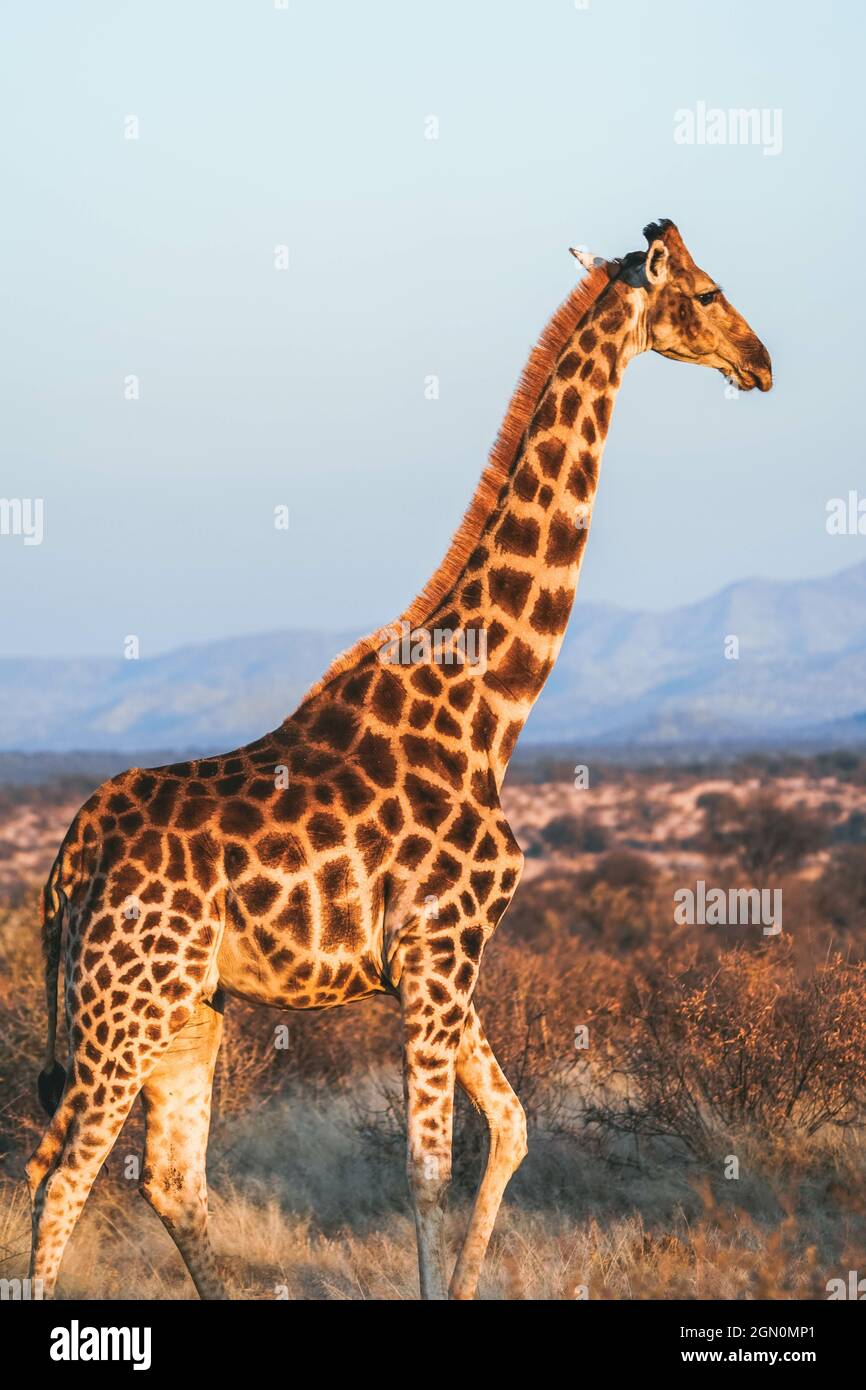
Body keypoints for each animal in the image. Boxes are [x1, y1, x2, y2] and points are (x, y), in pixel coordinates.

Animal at [27, 219, 771, 1301]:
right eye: (708, 293)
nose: (759, 362)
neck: (491, 707)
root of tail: (73, 857)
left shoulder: (444, 960)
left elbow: (510, 1128)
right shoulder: (439, 949)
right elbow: (426, 1167)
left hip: (187, 1007)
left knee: (167, 1177)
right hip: (120, 1005)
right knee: (62, 1178)